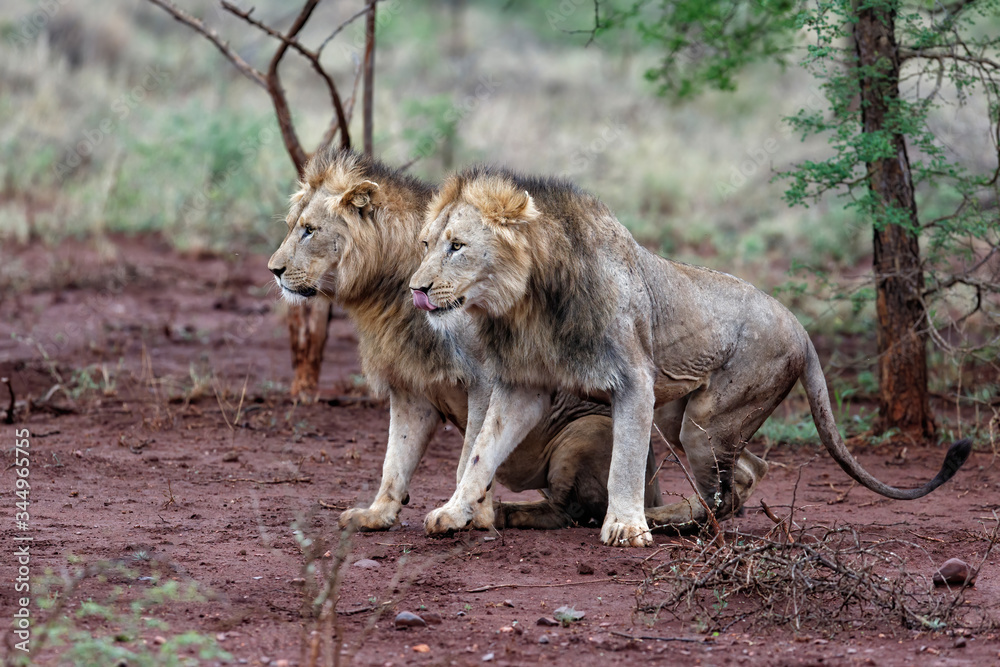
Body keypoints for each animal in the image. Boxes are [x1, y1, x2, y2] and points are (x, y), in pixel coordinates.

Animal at [267, 148, 671, 532]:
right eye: (291, 227)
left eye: (309, 230)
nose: (273, 270)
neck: (383, 292)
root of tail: (655, 493)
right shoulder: (410, 389)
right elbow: (395, 461)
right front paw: (377, 514)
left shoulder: (485, 378)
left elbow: (472, 456)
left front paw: (469, 516)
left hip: (584, 433)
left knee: (569, 509)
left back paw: (515, 513)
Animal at [409, 165, 972, 547]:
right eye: (426, 243)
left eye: (458, 246)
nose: (416, 289)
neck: (526, 300)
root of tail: (802, 328)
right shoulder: (523, 387)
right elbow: (480, 451)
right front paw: (454, 512)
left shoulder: (634, 378)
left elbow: (625, 461)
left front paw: (626, 527)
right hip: (685, 415)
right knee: (747, 473)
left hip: (707, 420)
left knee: (722, 499)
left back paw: (661, 521)